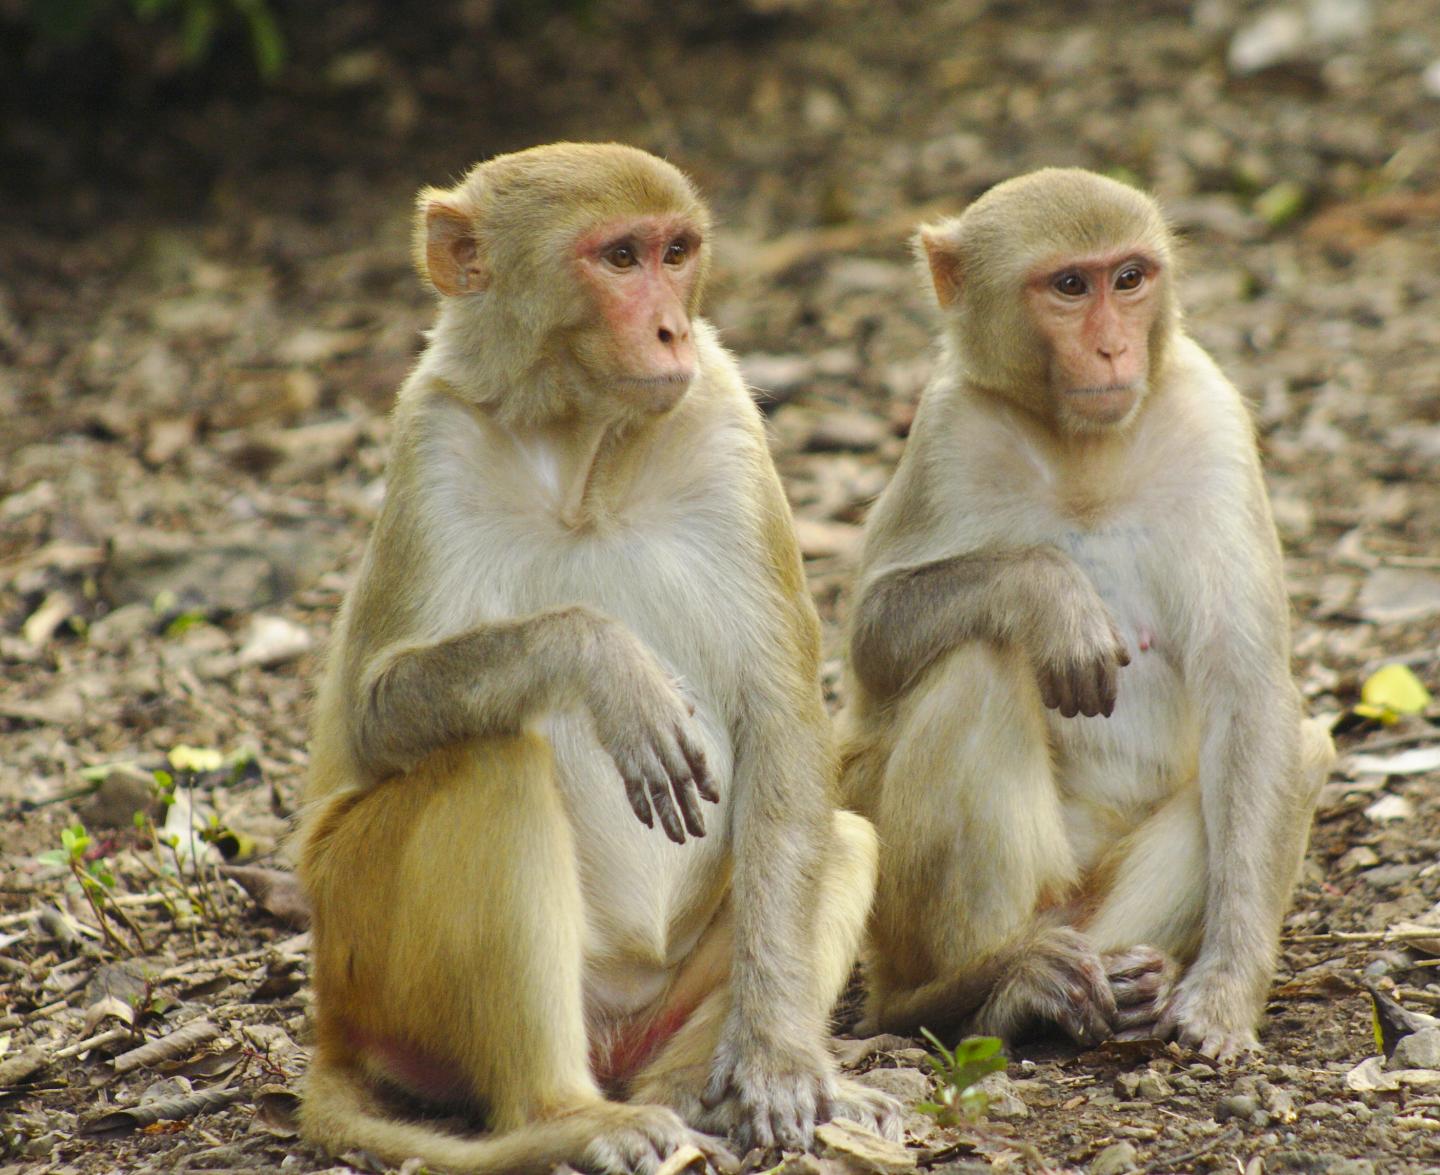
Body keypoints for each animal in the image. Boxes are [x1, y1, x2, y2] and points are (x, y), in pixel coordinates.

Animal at [296, 142, 899, 1175]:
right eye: (619, 258)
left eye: (675, 252)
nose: (671, 329)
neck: (581, 448)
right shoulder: (431, 437)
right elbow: (375, 711)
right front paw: (603, 662)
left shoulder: (726, 416)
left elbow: (782, 718)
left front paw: (778, 1056)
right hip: (359, 932)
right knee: (495, 765)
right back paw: (567, 1116)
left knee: (844, 835)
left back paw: (695, 1093)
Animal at [838, 167, 1335, 1064]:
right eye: (1070, 286)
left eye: (1128, 278)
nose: (1112, 349)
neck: (1086, 452)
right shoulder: (948, 431)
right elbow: (873, 639)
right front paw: (1051, 595)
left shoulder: (1209, 420)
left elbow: (1248, 694)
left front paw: (1224, 988)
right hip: (908, 922)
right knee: (980, 662)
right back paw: (984, 991)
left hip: (1100, 909)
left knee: (1299, 749)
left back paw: (1125, 988)